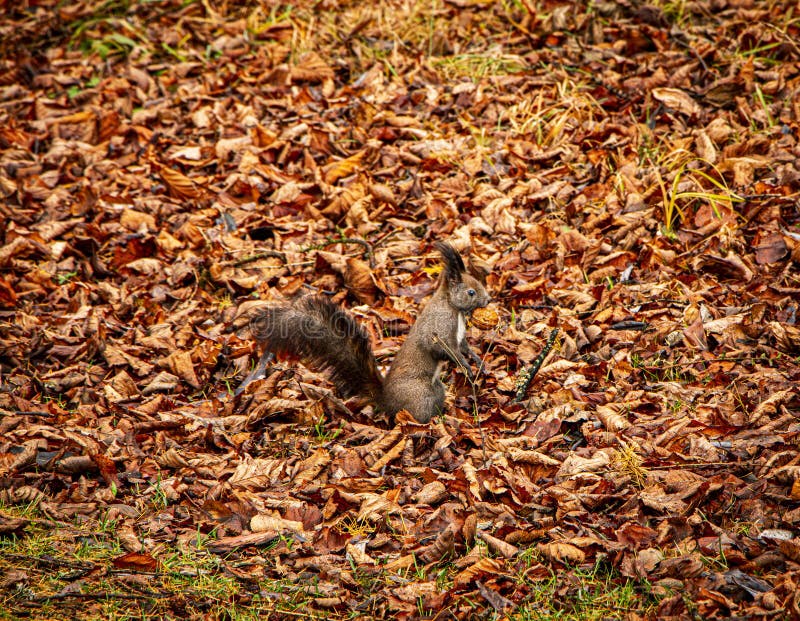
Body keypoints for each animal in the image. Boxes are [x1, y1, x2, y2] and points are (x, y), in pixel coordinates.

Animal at [246, 242, 490, 423]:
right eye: (471, 292)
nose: (488, 300)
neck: (453, 309)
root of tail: (386, 400)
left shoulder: (459, 337)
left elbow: (464, 347)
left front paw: (478, 361)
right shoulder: (439, 329)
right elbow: (444, 349)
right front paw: (467, 367)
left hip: (435, 389)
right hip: (420, 394)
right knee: (417, 413)